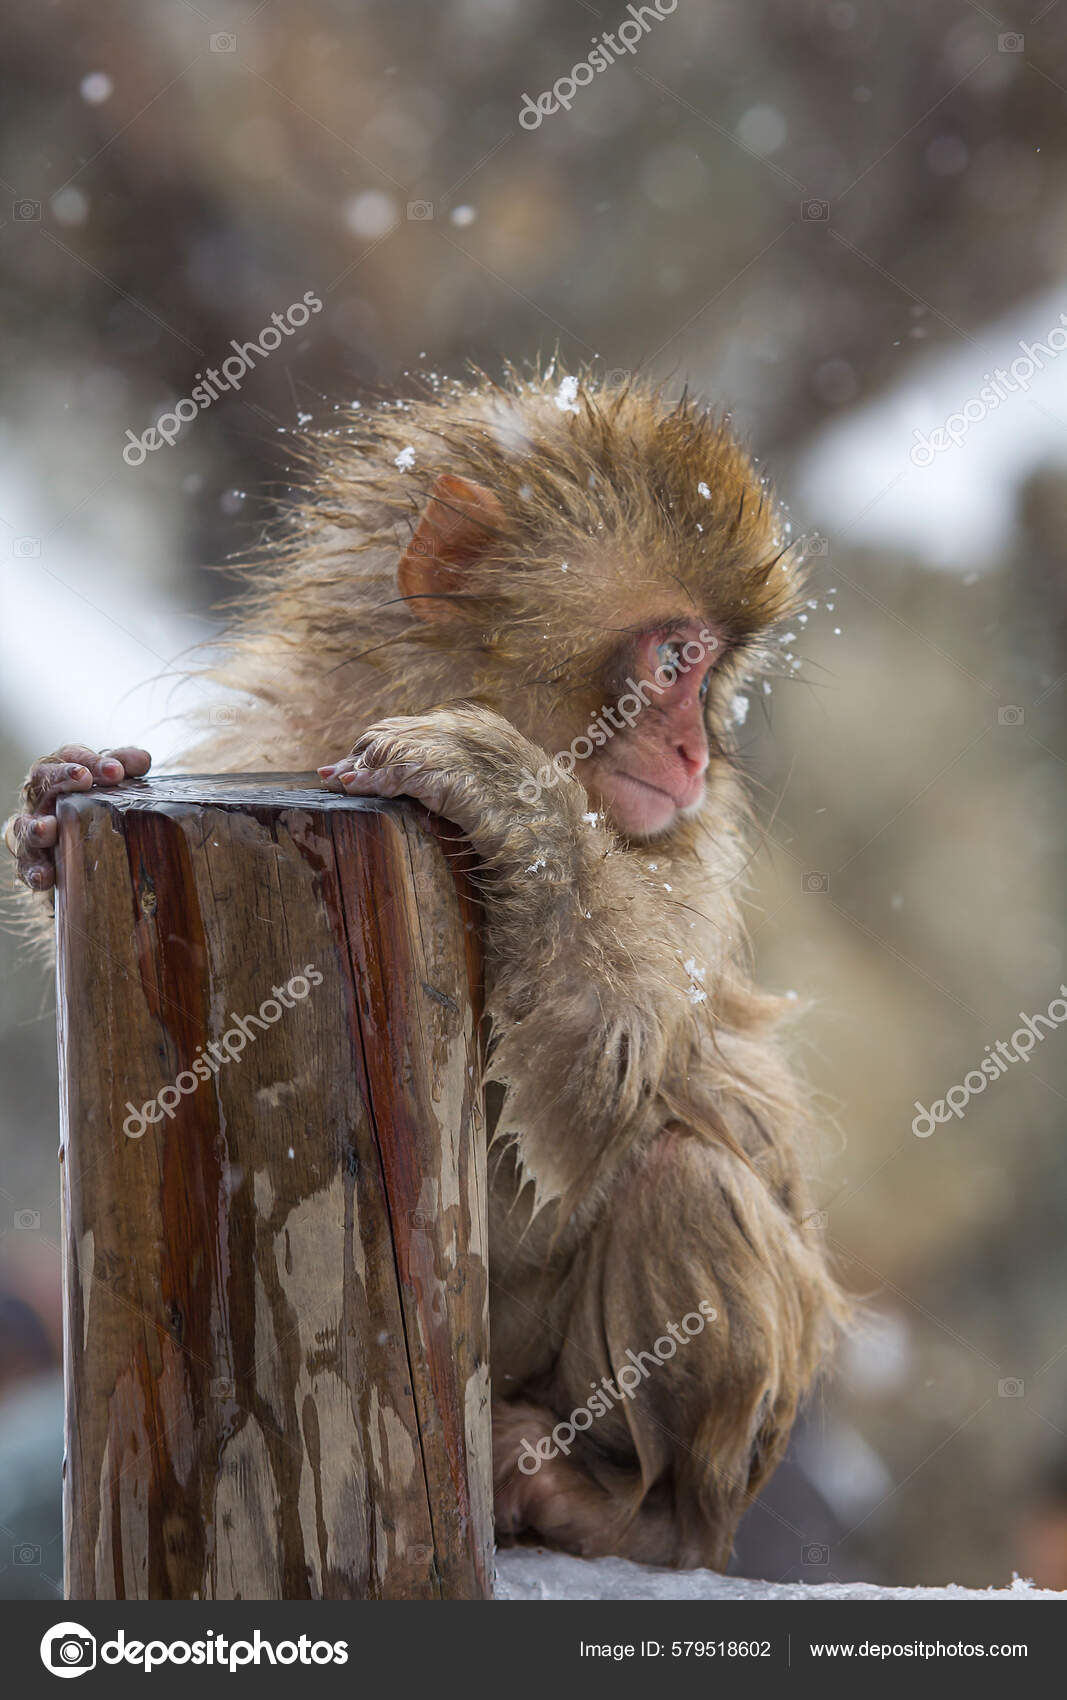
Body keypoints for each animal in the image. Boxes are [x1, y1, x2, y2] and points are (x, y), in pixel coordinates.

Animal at [5, 368, 847, 1571]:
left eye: (711, 674)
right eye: (672, 663)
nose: (693, 753)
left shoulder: (688, 857)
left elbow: (609, 1081)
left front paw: (511, 795)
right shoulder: (275, 746)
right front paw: (46, 817)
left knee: (684, 1171)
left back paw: (635, 1511)